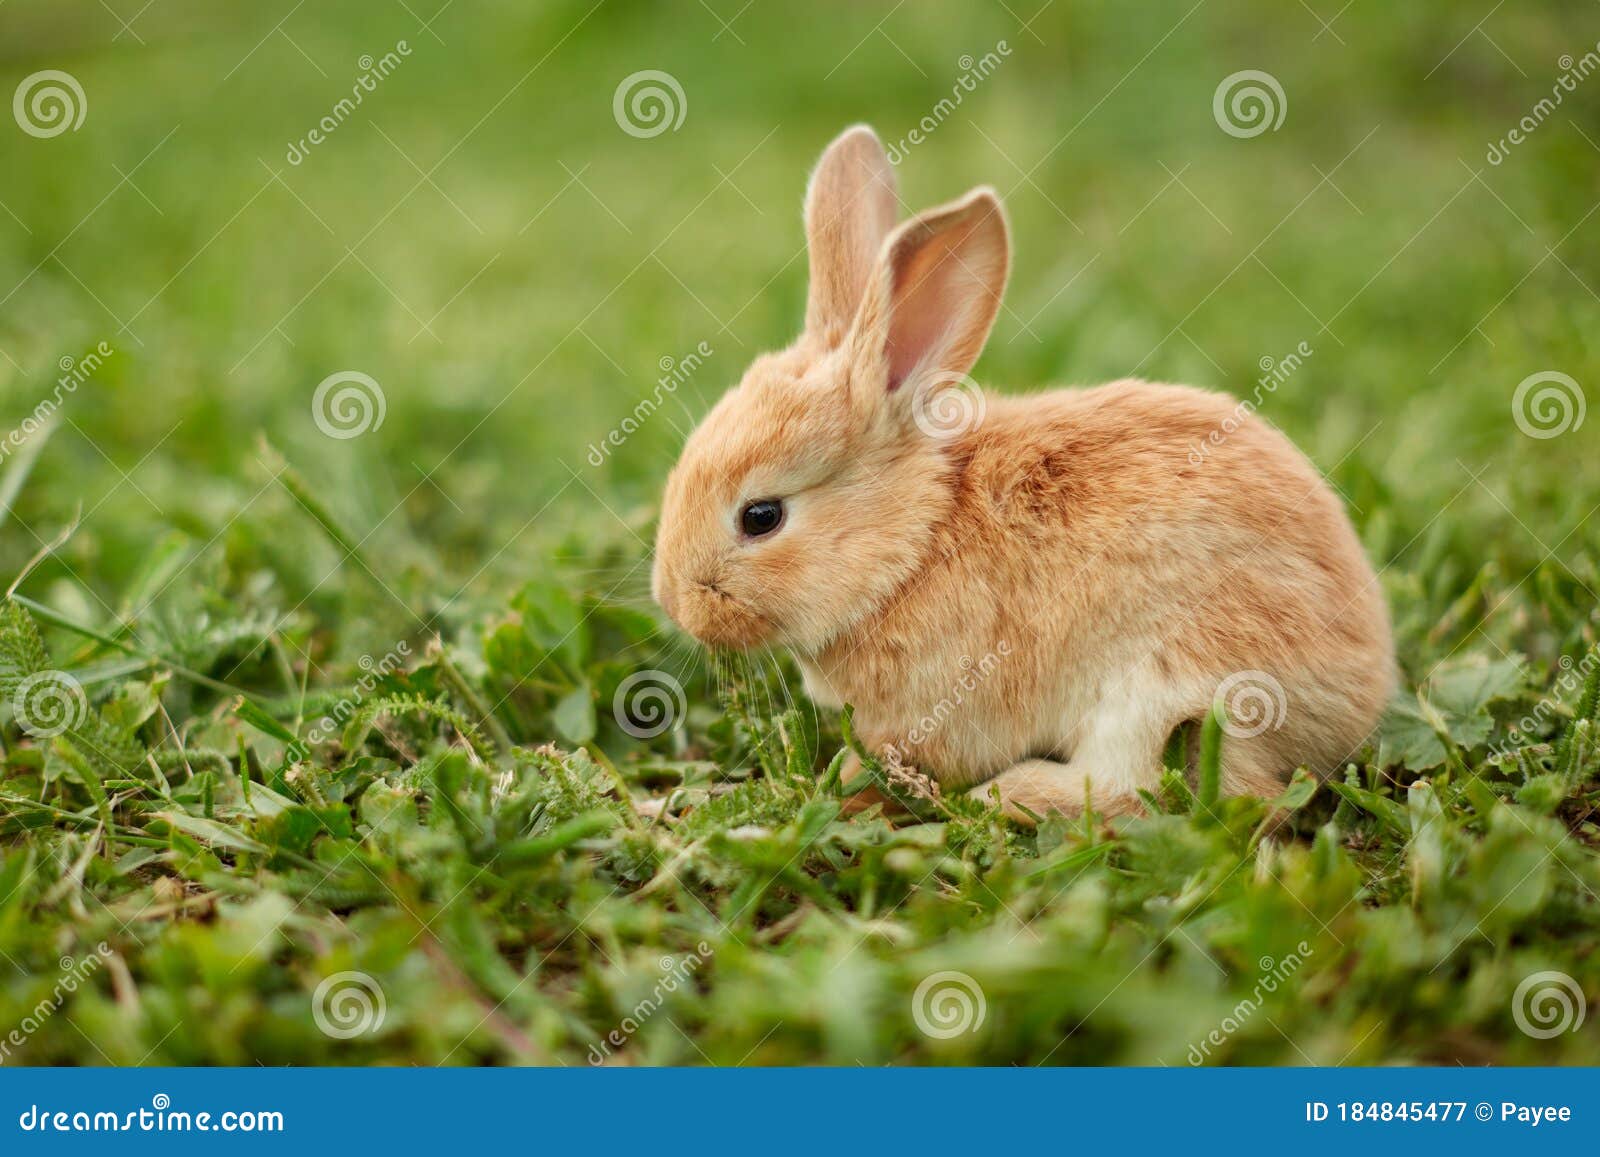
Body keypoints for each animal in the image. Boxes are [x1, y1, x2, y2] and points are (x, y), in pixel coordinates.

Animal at [651, 125, 1395, 822]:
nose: (676, 604)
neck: (914, 544)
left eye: (761, 517)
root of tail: (1361, 689)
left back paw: (1008, 794)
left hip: (1163, 691)